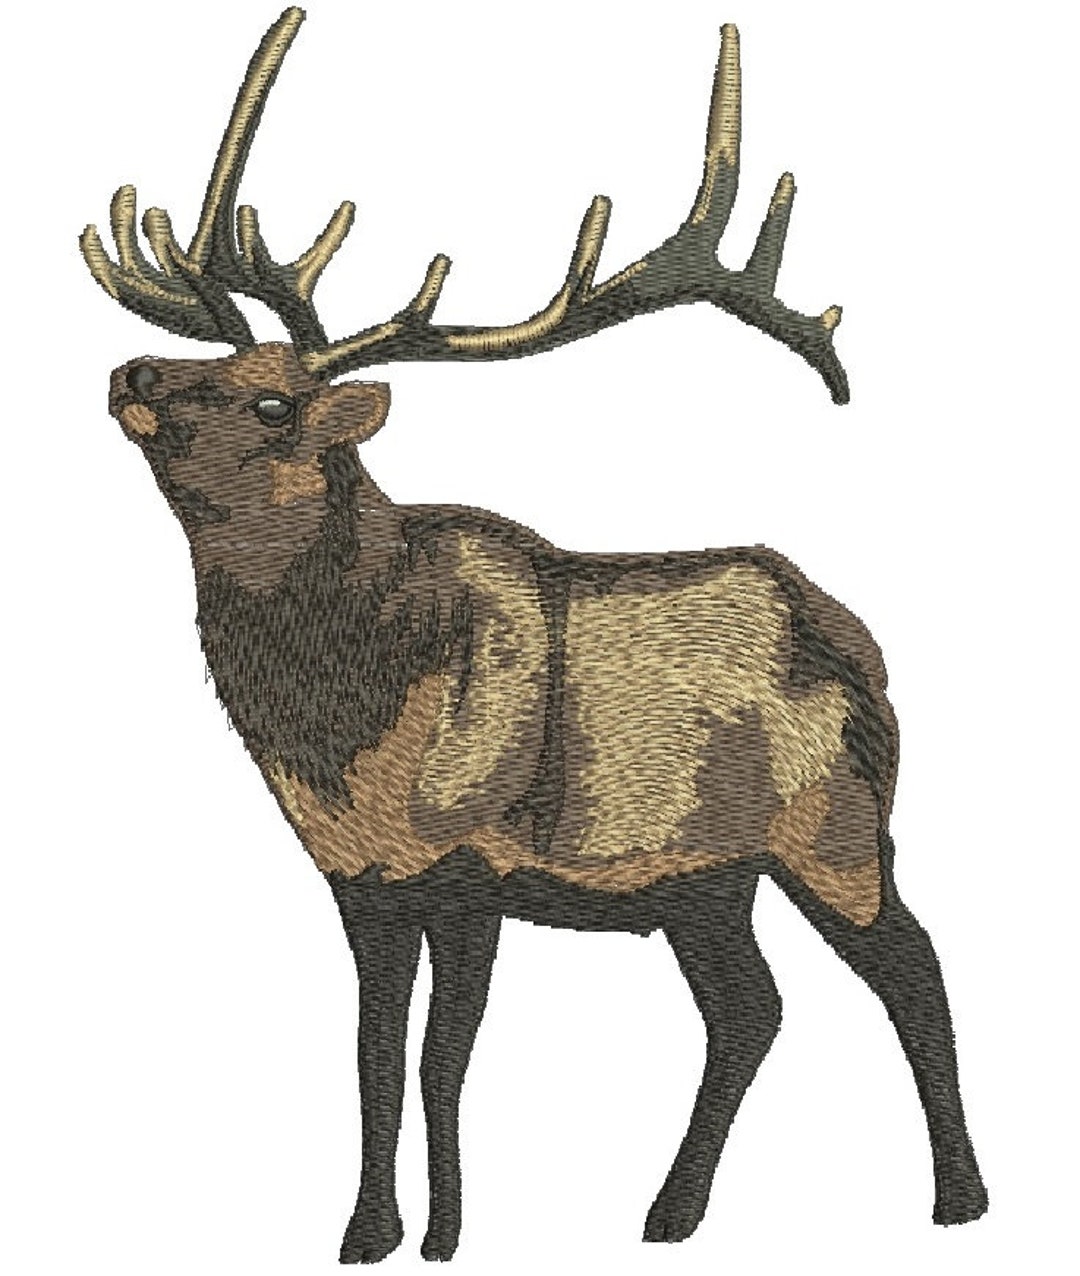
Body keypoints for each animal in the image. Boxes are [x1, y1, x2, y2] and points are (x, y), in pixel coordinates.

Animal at [80, 7, 987, 1264]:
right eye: (218, 361)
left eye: (272, 400)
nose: (132, 368)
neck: (335, 723)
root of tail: (863, 644)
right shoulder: (360, 880)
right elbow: (371, 1058)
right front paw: (365, 1233)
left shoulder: (471, 866)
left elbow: (441, 1062)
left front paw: (444, 1237)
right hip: (703, 878)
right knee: (751, 1007)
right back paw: (669, 1211)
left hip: (835, 826)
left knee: (915, 965)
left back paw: (958, 1199)